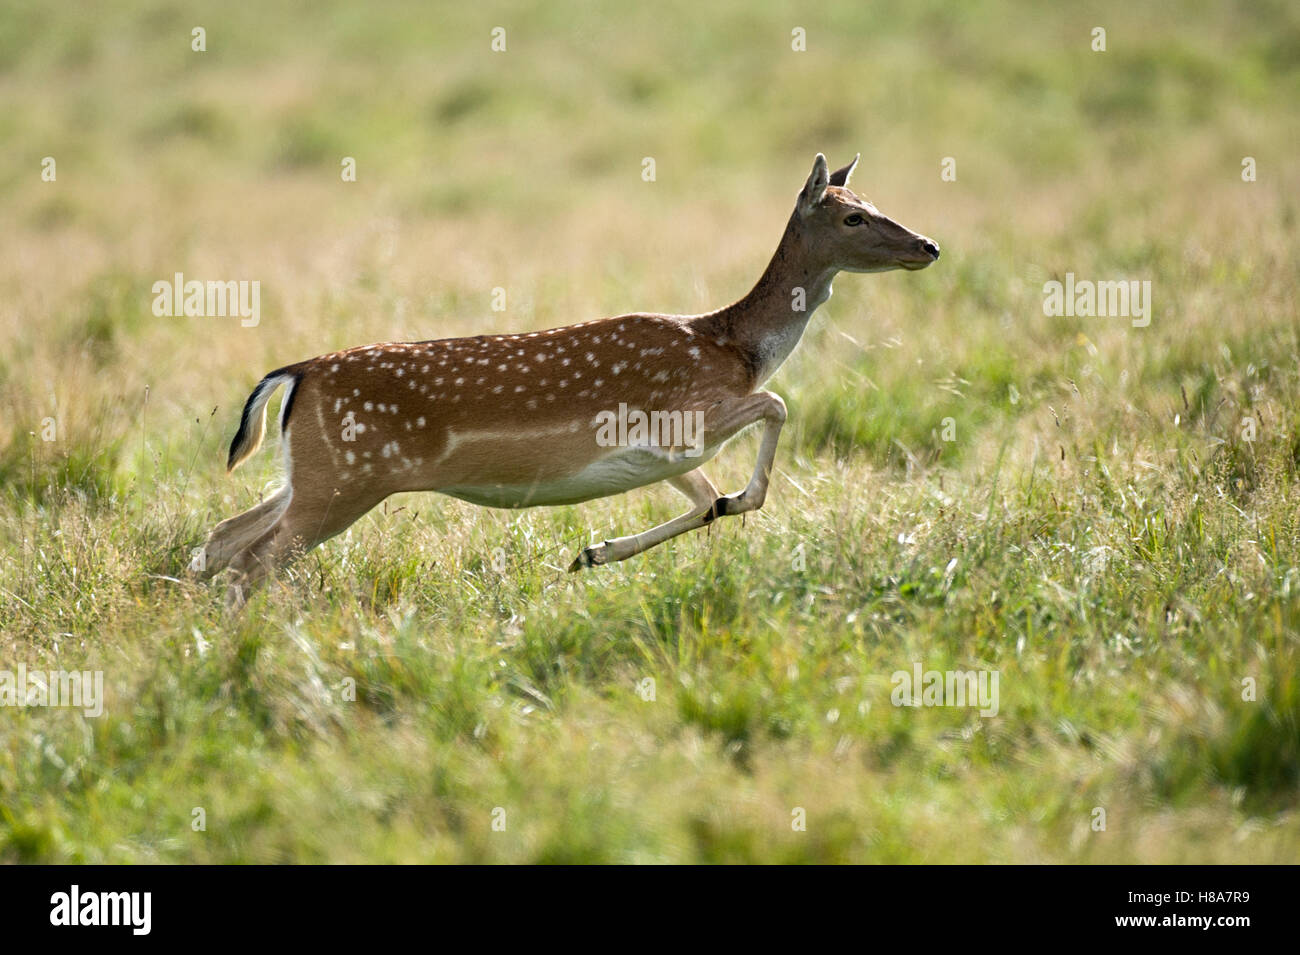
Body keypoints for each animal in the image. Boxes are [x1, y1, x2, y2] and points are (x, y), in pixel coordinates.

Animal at [197, 153, 939, 605]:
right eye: (853, 215)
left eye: (872, 199)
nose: (928, 245)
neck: (733, 346)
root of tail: (295, 373)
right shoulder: (682, 419)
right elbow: (776, 409)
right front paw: (725, 500)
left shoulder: (668, 454)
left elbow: (707, 503)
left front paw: (594, 551)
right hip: (348, 478)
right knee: (252, 559)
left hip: (311, 473)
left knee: (223, 538)